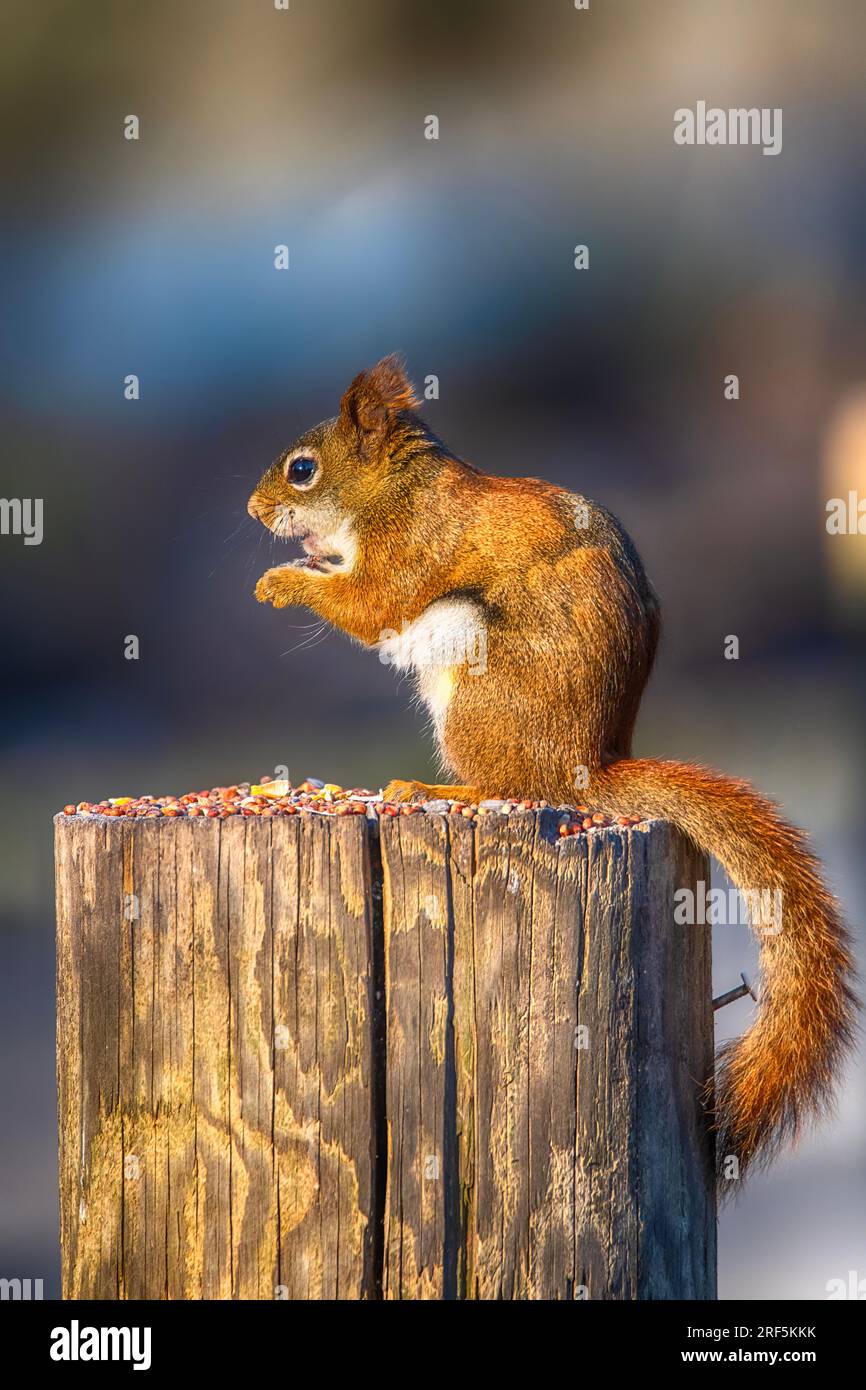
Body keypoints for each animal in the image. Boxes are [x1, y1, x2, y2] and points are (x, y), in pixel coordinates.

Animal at [249, 353, 857, 1186]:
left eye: (302, 470)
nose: (253, 509)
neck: (393, 493)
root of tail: (588, 769)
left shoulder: (411, 551)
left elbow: (371, 606)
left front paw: (281, 581)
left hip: (475, 677)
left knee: (507, 787)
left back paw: (435, 787)